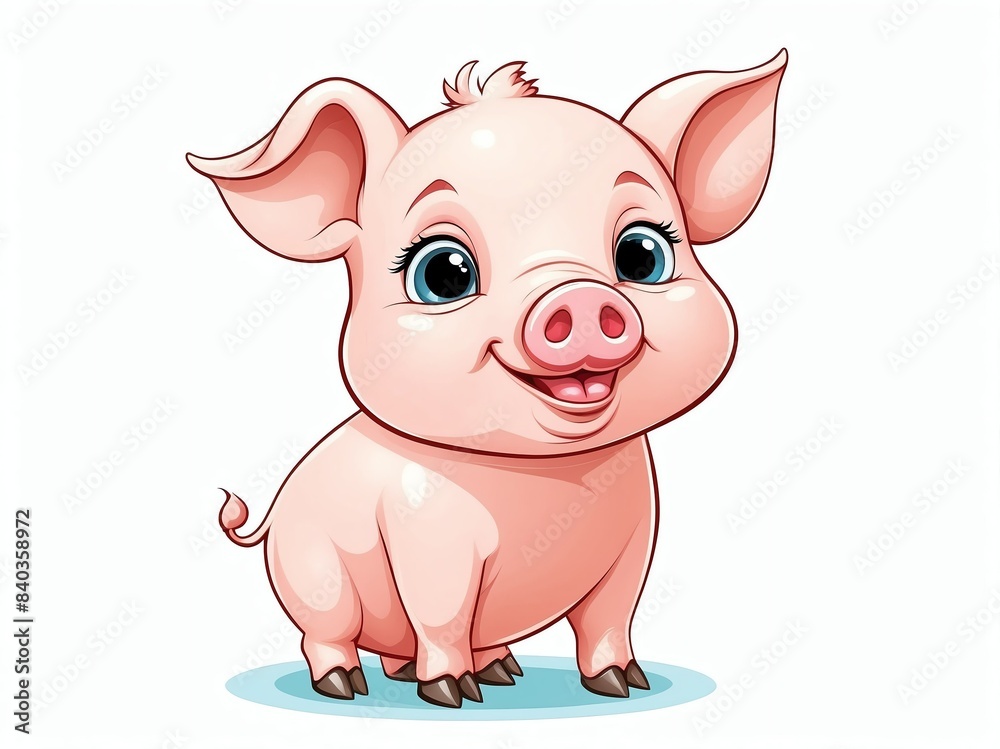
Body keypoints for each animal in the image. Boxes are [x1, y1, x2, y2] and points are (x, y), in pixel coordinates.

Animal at [188, 51, 786, 708]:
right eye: (444, 273)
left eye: (642, 255)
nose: (578, 297)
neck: (545, 476)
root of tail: (272, 515)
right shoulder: (427, 538)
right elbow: (443, 616)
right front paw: (450, 695)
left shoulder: (636, 538)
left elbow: (611, 616)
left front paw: (626, 685)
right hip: (313, 574)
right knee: (326, 635)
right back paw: (349, 687)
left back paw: (496, 672)